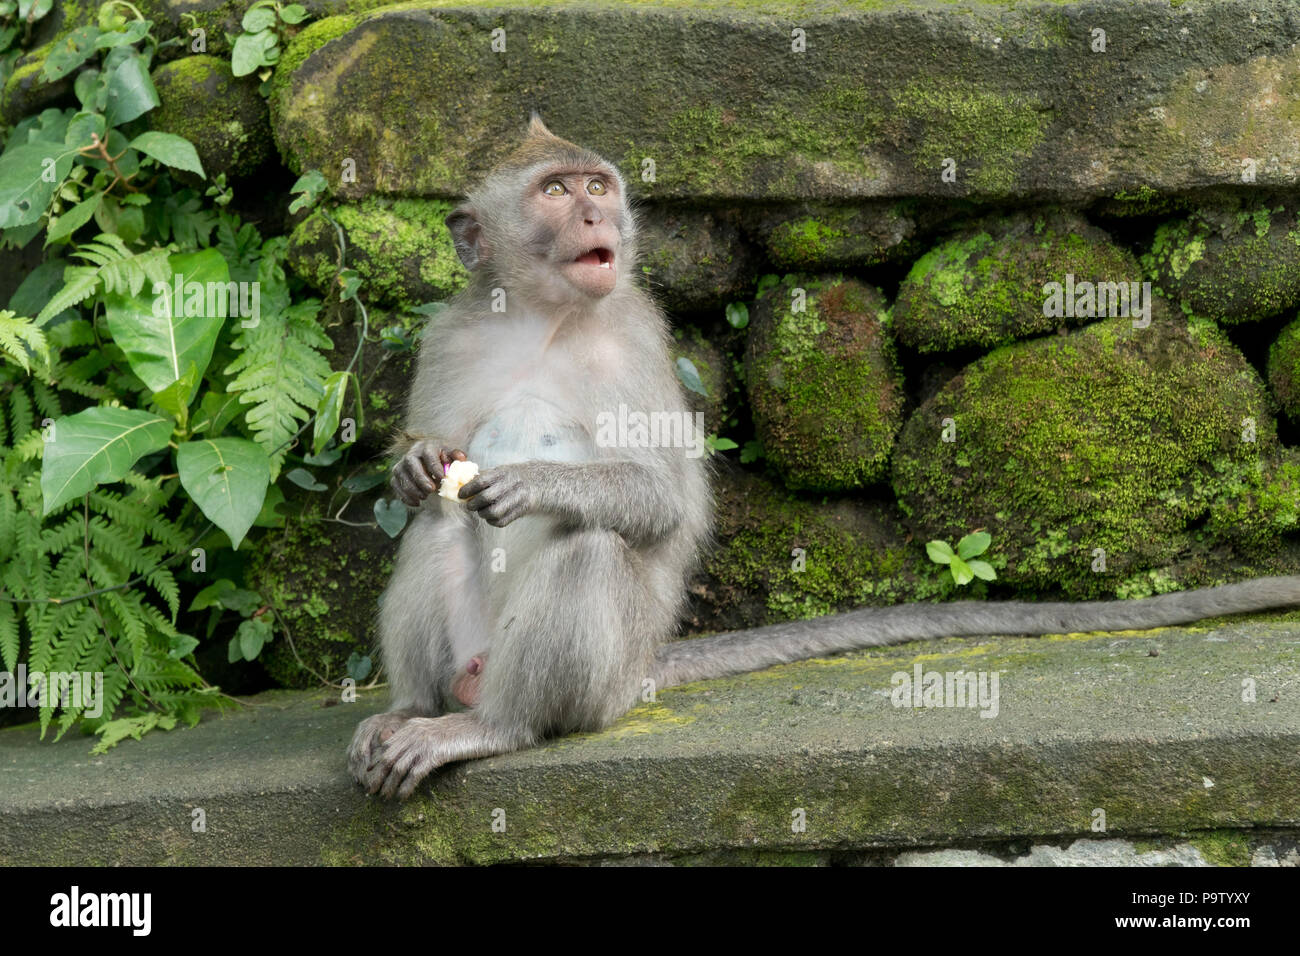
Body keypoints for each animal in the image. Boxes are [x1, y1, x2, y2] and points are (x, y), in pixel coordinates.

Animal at [348, 116, 1300, 800]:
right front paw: (414, 464)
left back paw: (497, 729)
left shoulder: (634, 338)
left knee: (587, 547)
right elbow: (433, 471)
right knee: (435, 529)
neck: (542, 316)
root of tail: (641, 674)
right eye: (553, 191)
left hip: (602, 685)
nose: (595, 216)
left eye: (595, 186)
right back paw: (409, 708)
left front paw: (535, 482)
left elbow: (663, 502)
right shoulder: (451, 330)